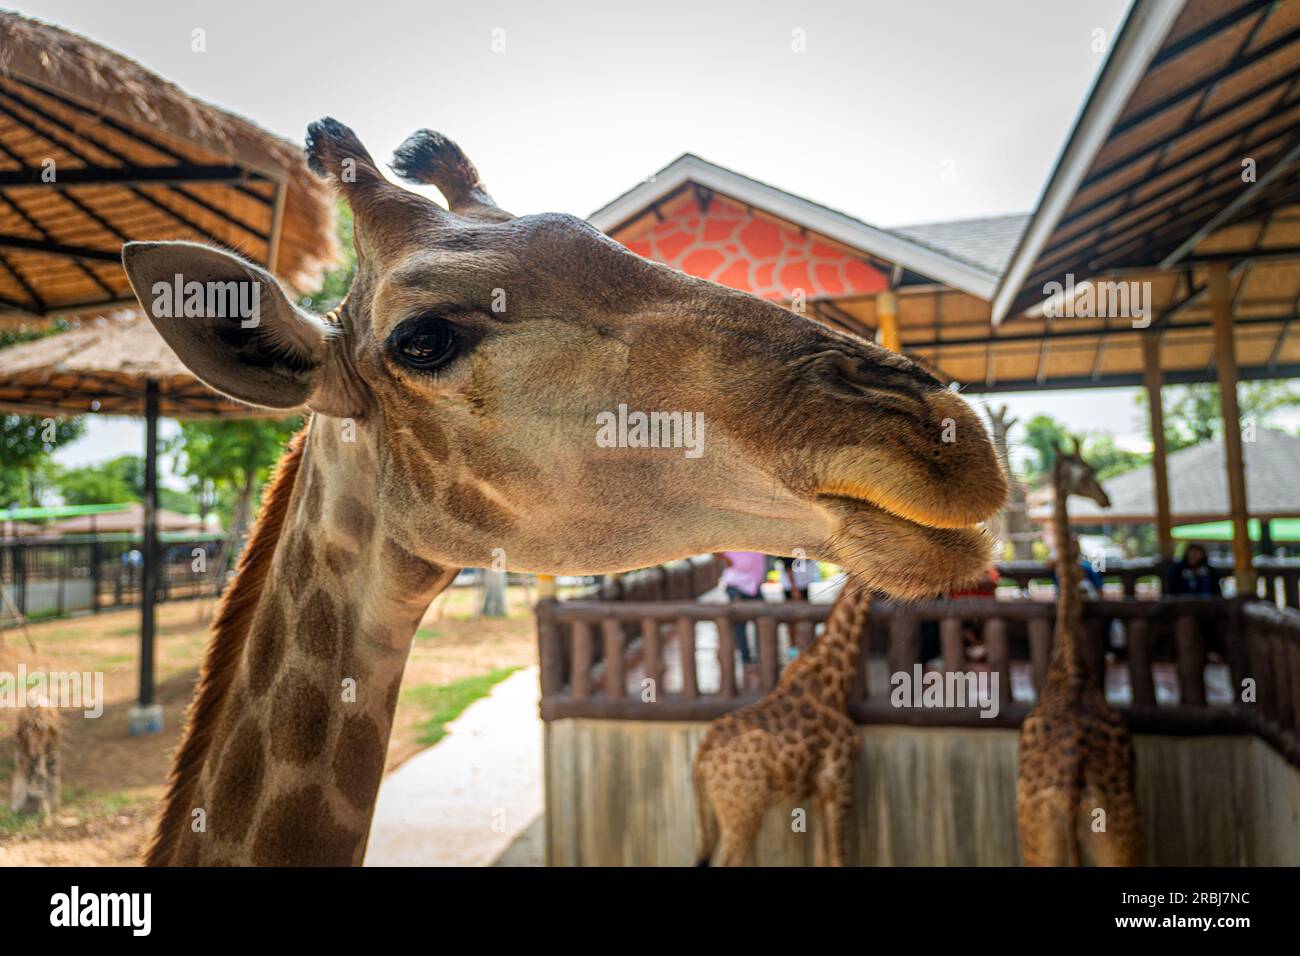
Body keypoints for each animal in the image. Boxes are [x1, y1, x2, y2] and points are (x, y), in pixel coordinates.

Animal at [693, 576, 870, 866]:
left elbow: (821, 855)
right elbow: (838, 856)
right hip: (743, 808)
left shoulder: (819, 788)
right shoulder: (840, 779)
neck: (834, 682)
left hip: (717, 809)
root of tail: (699, 760)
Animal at [1016, 441, 1142, 866]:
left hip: (1040, 841)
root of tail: (1071, 791)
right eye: (1087, 471)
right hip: (1120, 837)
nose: (1105, 498)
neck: (1070, 670)